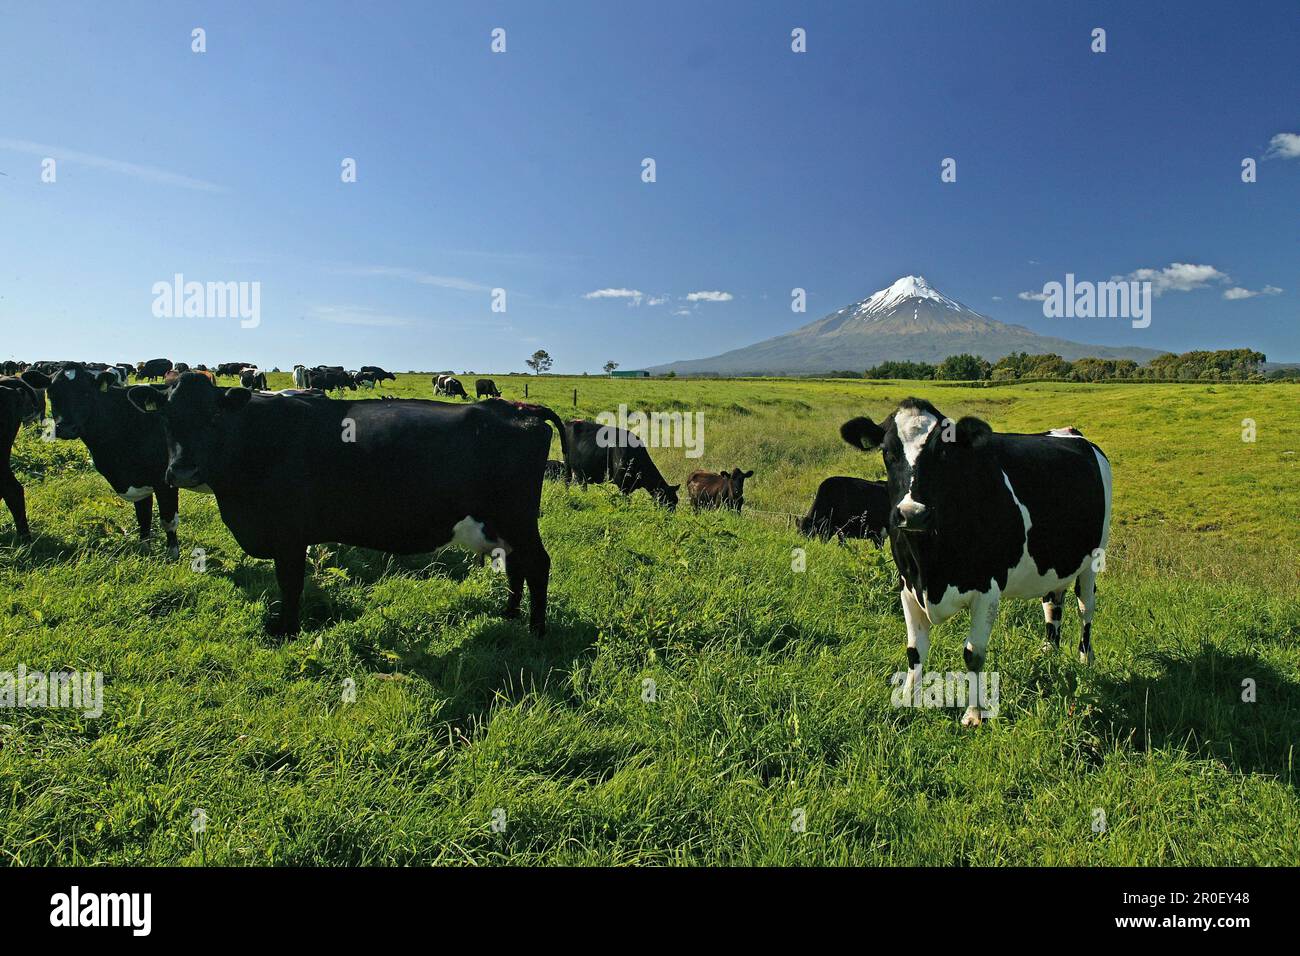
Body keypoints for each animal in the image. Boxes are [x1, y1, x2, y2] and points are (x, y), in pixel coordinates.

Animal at [22, 365, 183, 558]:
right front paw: (145, 552)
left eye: (86, 393)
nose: (67, 428)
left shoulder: (164, 482)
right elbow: (143, 518)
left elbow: (168, 520)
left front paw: (173, 555)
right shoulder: (138, 481)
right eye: (51, 393)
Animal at [127, 374, 569, 636]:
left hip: (517, 518)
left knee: (537, 563)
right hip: (502, 523)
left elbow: (290, 583)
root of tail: (517, 408)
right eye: (165, 417)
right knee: (515, 563)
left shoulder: (289, 534)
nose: (182, 471)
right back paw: (510, 614)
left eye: (215, 417)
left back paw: (536, 629)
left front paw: (286, 629)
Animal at [840, 398, 1112, 726]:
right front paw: (908, 700)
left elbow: (973, 654)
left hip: (1093, 558)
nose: (913, 513)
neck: (929, 568)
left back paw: (1085, 660)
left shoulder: (987, 589)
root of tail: (1070, 432)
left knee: (1086, 608)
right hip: (1055, 561)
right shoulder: (907, 585)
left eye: (943, 453)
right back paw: (1048, 654)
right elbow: (914, 650)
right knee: (1052, 603)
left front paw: (974, 714)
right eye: (887, 452)